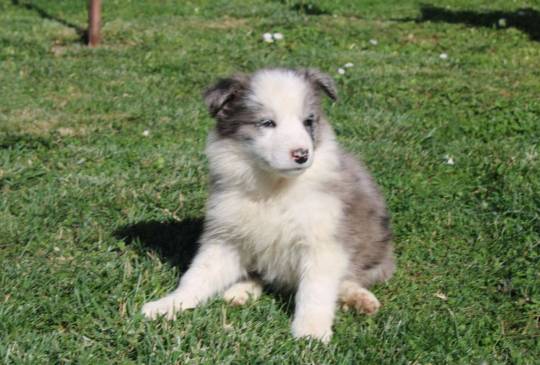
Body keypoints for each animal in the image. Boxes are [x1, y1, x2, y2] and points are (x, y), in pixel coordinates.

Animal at [142, 67, 396, 342]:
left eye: (308, 121)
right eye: (267, 123)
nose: (302, 154)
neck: (273, 187)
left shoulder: (322, 243)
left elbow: (315, 290)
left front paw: (311, 332)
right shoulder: (226, 238)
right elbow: (197, 276)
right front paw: (168, 305)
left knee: (349, 279)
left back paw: (360, 298)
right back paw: (240, 291)